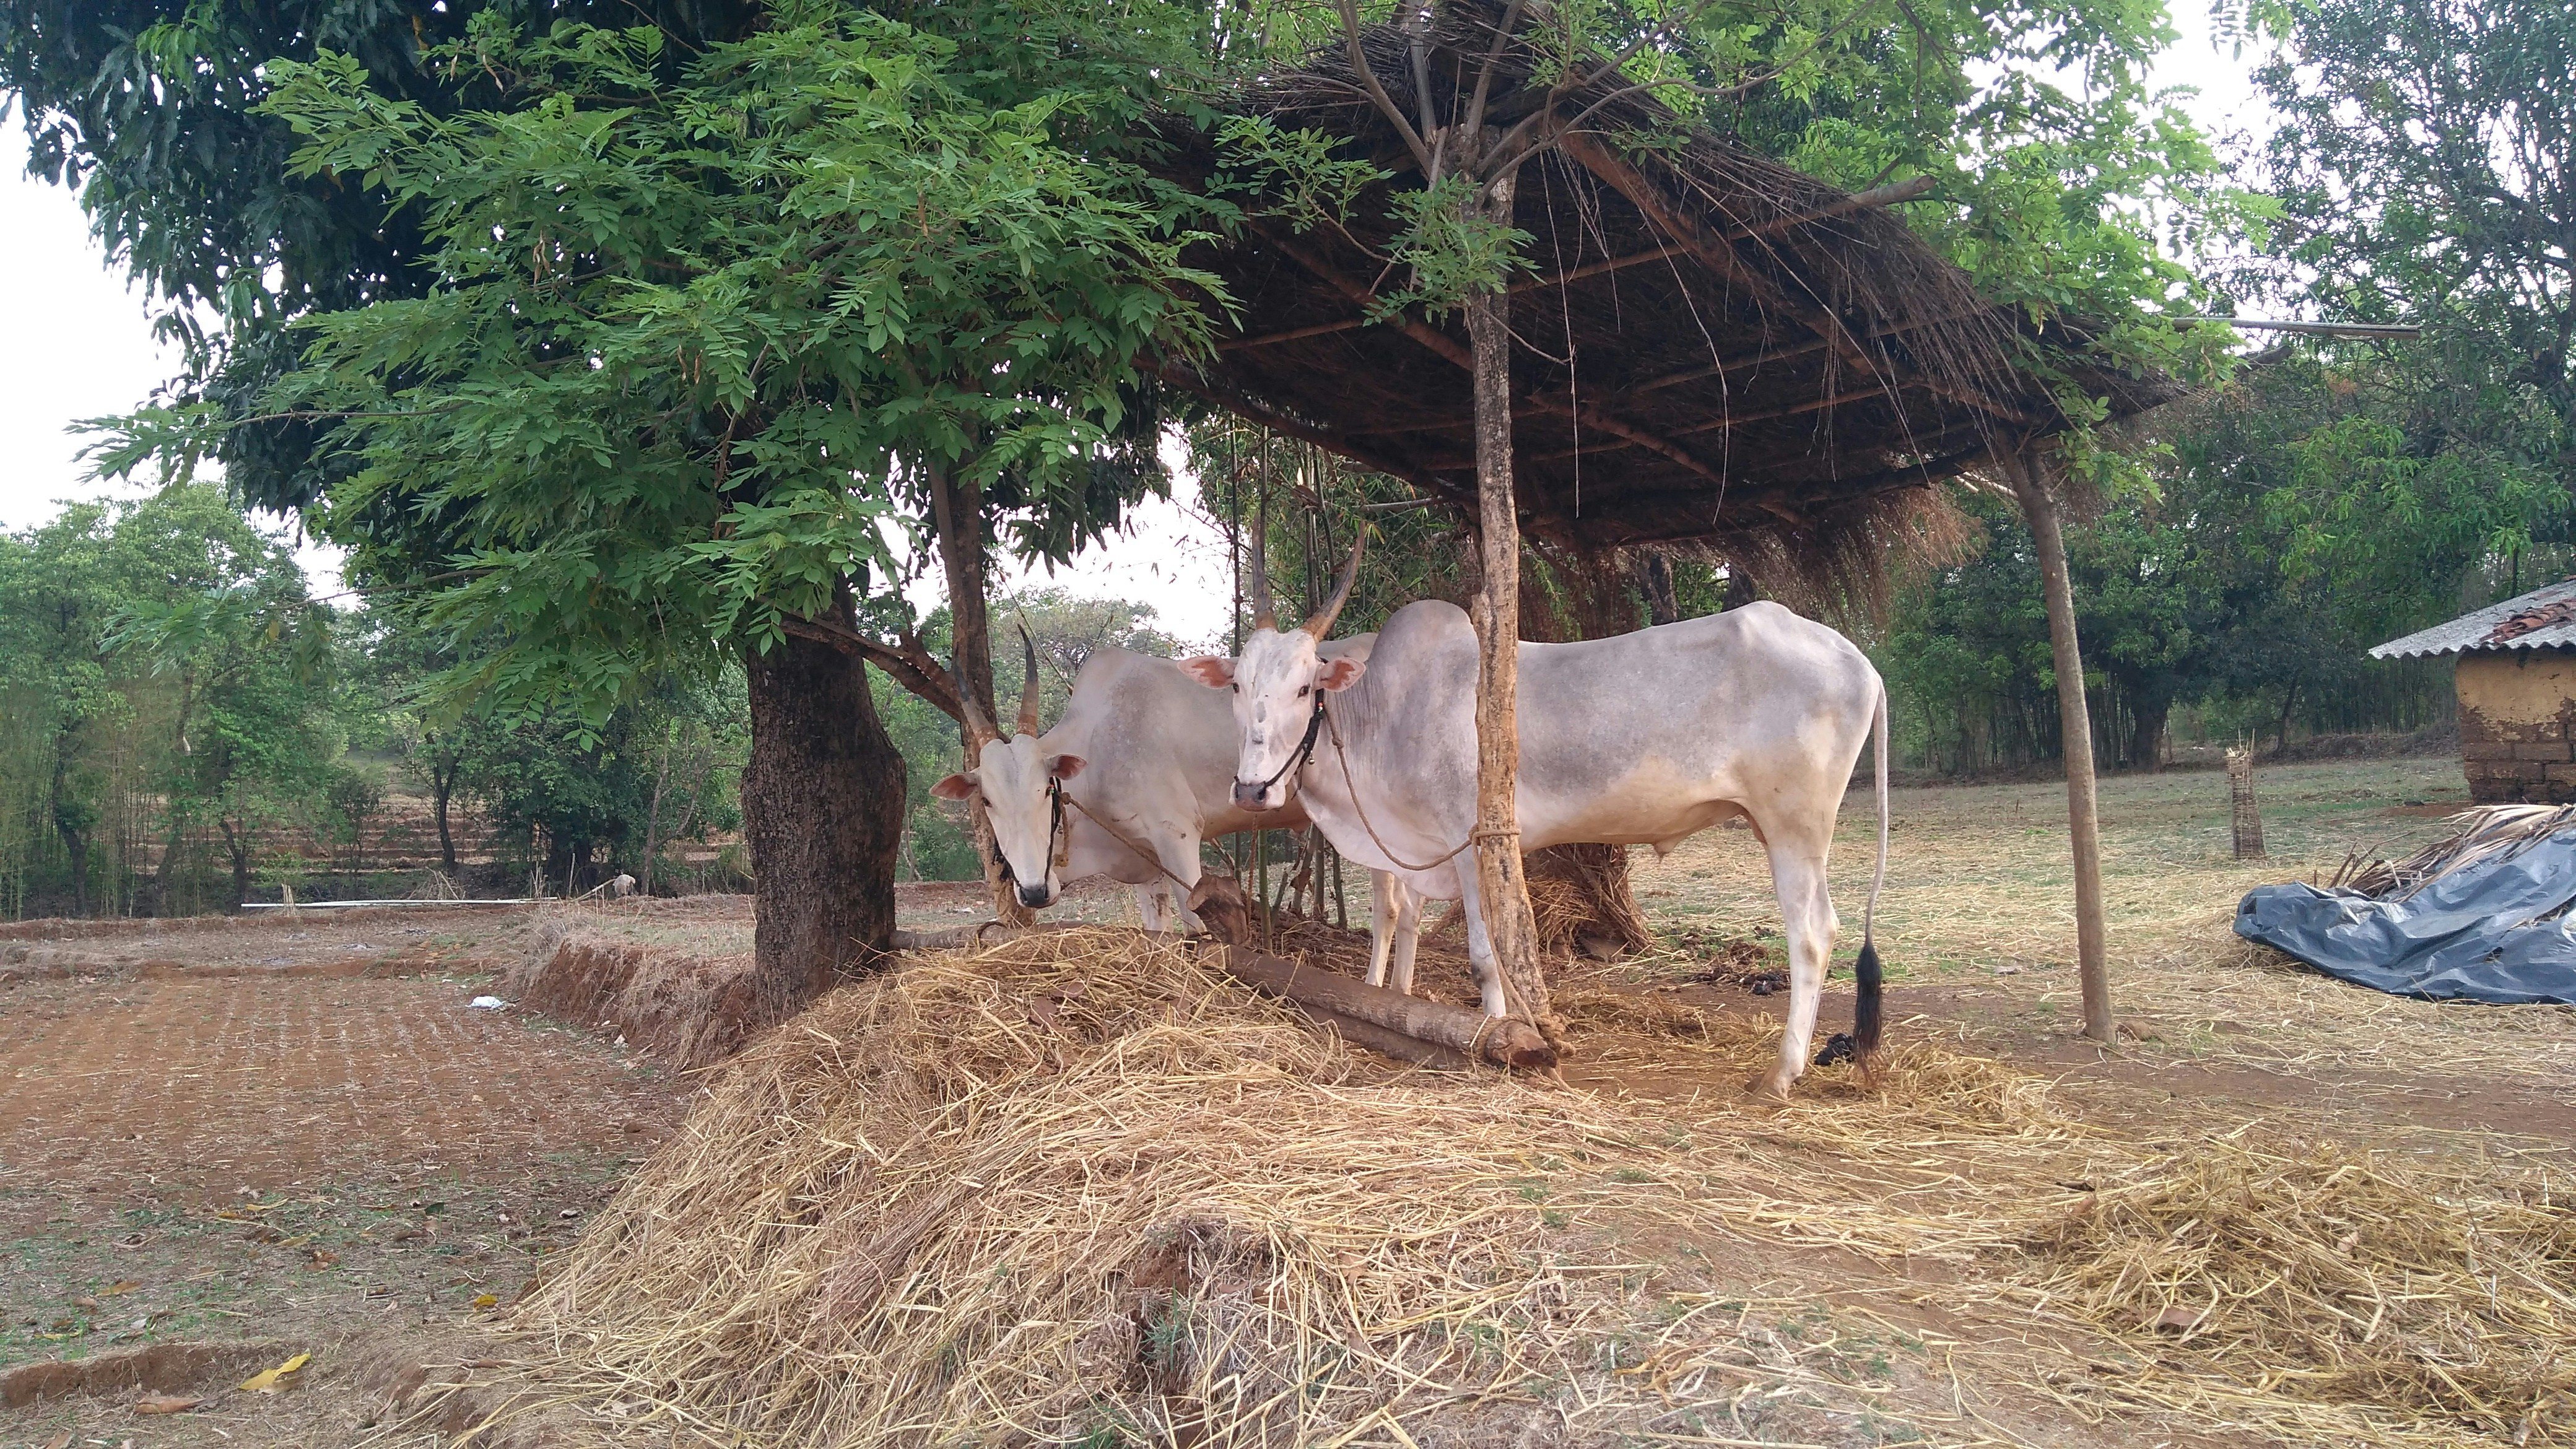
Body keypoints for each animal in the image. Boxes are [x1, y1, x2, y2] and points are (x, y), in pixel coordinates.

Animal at [931, 631, 1428, 985]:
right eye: (987, 800)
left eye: (1046, 791)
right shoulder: (1145, 863)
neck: (1099, 746)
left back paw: (1379, 988)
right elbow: (1160, 930)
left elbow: (1197, 927)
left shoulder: (1178, 838)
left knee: (1390, 908)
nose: (1033, 892)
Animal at [1181, 538, 1890, 1101]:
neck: (1385, 709)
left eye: (1305, 688)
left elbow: (1480, 956)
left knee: (1812, 934)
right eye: (1238, 687)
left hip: (1795, 828)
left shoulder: (1470, 846)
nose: (1251, 789)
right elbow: (1416, 927)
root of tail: (1858, 661)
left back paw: (1780, 1074)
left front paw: (1494, 1040)